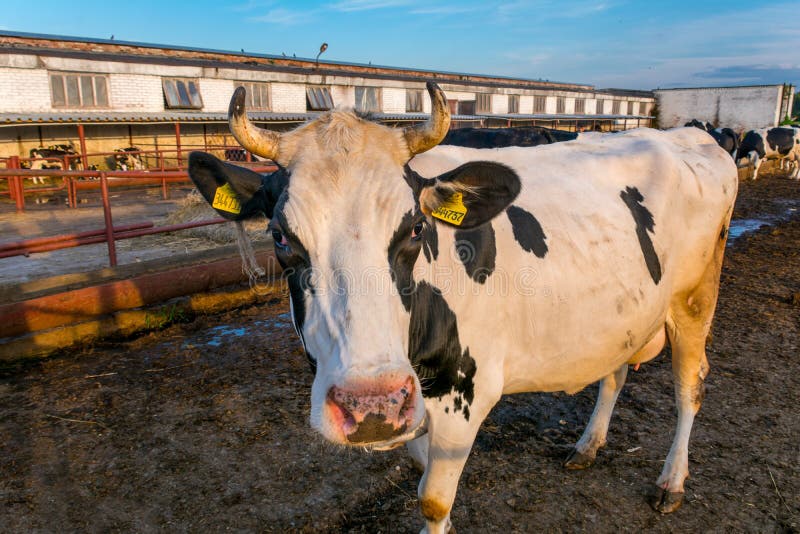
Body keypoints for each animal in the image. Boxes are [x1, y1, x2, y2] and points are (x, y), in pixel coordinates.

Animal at [186, 83, 737, 532]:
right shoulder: (413, 409)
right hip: (624, 317)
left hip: (695, 300)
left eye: (415, 228)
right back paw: (588, 445)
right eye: (280, 236)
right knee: (615, 372)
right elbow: (418, 470)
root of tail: (690, 136)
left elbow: (432, 501)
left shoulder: (465, 397)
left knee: (690, 385)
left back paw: (671, 482)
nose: (370, 405)